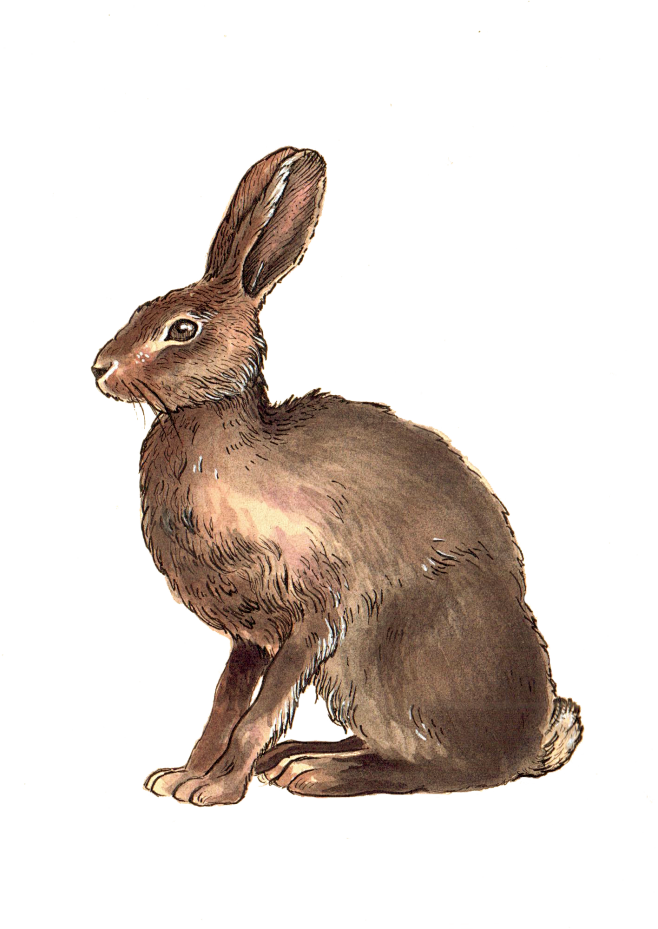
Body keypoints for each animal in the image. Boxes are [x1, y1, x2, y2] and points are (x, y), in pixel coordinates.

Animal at [91, 145, 584, 807]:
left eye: (183, 329)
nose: (101, 368)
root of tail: (528, 742)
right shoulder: (250, 637)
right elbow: (224, 710)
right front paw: (182, 778)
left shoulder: (315, 618)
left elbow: (254, 717)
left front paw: (217, 791)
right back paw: (299, 758)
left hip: (391, 659)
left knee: (448, 768)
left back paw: (314, 773)